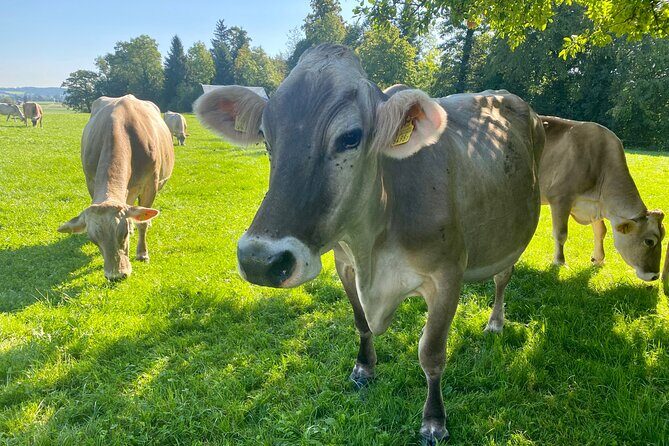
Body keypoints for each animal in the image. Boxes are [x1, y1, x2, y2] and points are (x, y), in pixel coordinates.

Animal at [57, 95, 175, 281]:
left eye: (123, 233)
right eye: (94, 240)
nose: (116, 275)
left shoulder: (151, 185)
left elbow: (143, 223)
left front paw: (142, 253)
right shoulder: (91, 182)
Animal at [195, 44, 544, 444]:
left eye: (350, 137)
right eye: (266, 137)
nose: (258, 261)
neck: (373, 245)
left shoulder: (446, 276)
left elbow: (431, 353)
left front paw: (434, 420)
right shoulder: (344, 263)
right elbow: (360, 321)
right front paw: (364, 368)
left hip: (513, 238)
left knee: (502, 279)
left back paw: (496, 322)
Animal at [539, 116, 664, 281]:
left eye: (663, 237)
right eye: (649, 241)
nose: (655, 276)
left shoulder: (596, 206)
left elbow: (601, 231)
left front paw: (598, 259)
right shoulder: (560, 198)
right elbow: (561, 233)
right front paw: (560, 262)